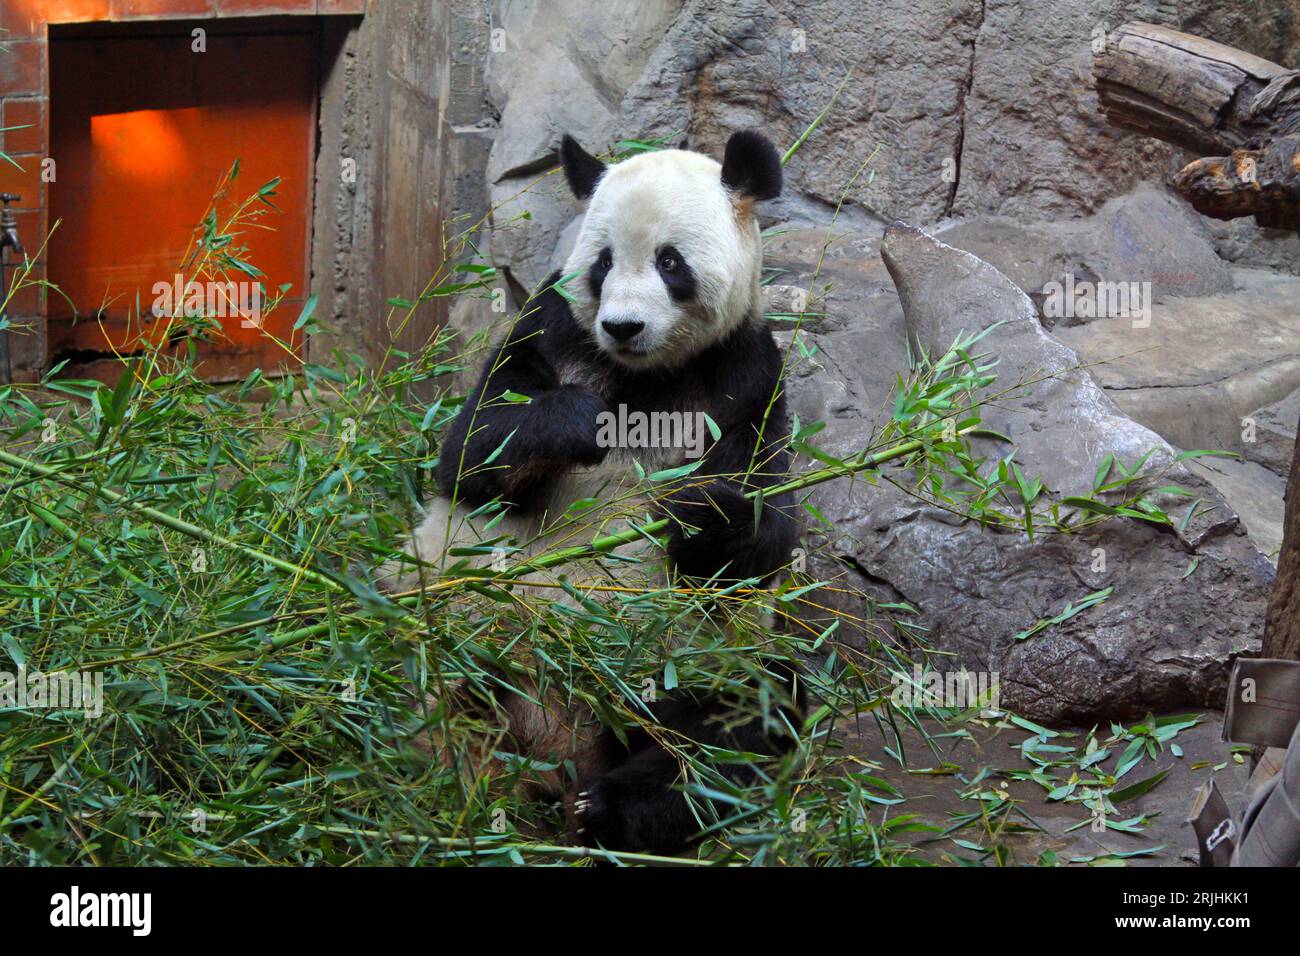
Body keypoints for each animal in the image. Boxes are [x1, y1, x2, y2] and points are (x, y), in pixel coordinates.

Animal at [382, 130, 802, 855]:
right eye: (602, 263)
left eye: (670, 262)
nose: (623, 327)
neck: (649, 372)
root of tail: (561, 746)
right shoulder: (550, 325)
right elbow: (469, 451)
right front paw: (580, 422)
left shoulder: (746, 369)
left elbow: (760, 528)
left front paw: (703, 510)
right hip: (458, 620)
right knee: (413, 669)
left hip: (704, 666)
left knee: (746, 718)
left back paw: (610, 809)